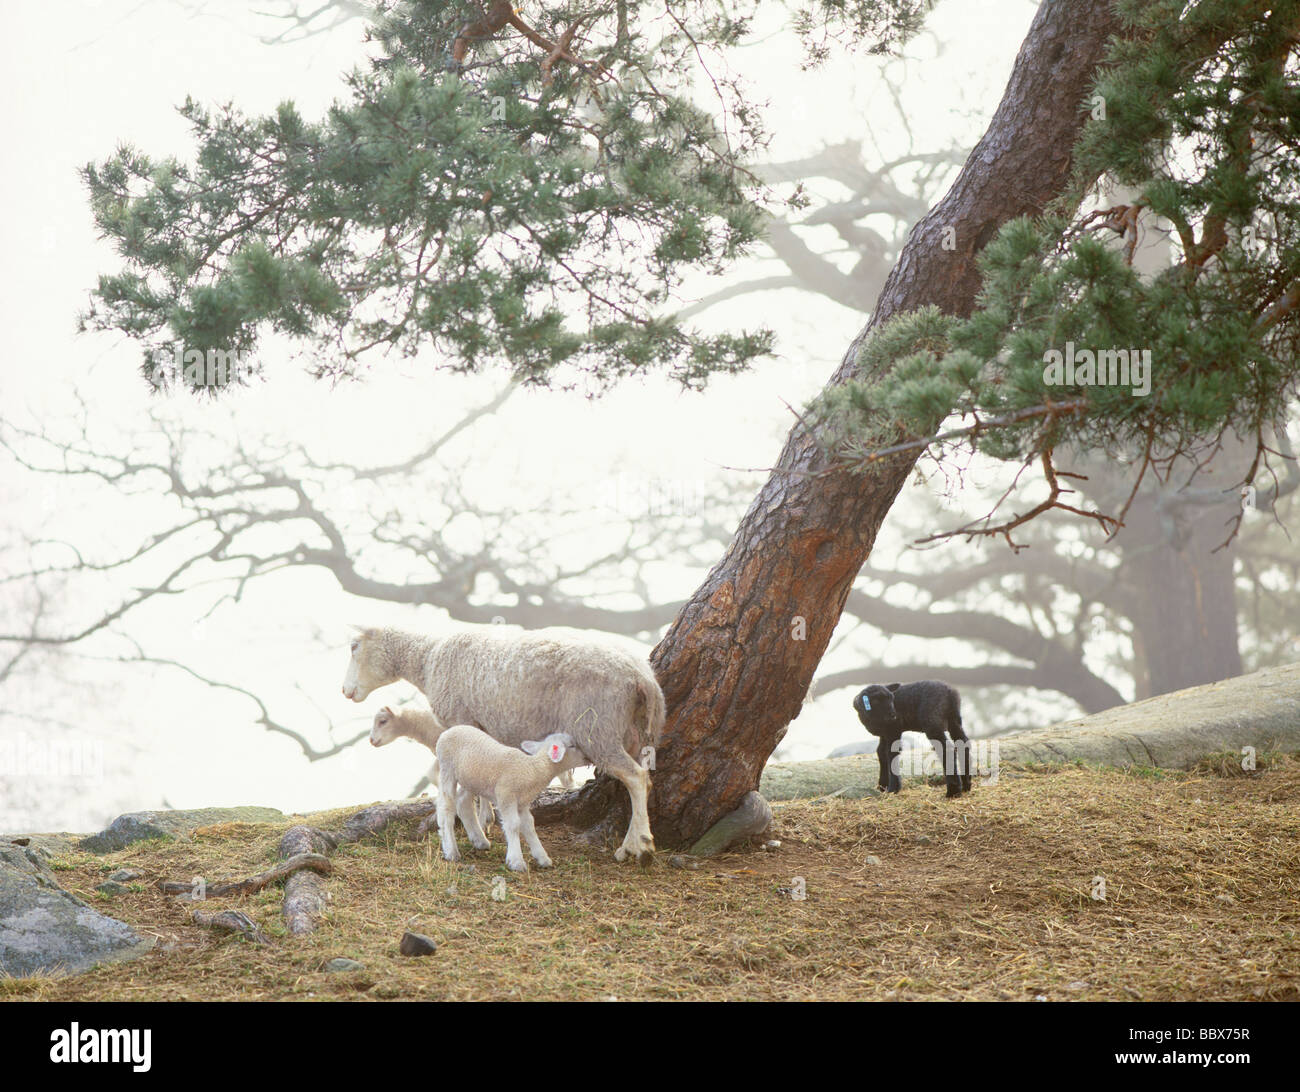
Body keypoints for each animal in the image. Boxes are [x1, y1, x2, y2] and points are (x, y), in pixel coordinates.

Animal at [435, 725, 588, 871]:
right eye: (572, 745)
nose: (587, 758)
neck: (532, 770)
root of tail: (447, 732)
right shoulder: (506, 796)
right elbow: (514, 825)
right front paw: (516, 861)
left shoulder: (523, 803)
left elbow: (529, 825)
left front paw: (542, 858)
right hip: (447, 769)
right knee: (446, 808)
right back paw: (451, 851)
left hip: (471, 779)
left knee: (463, 802)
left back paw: (479, 840)